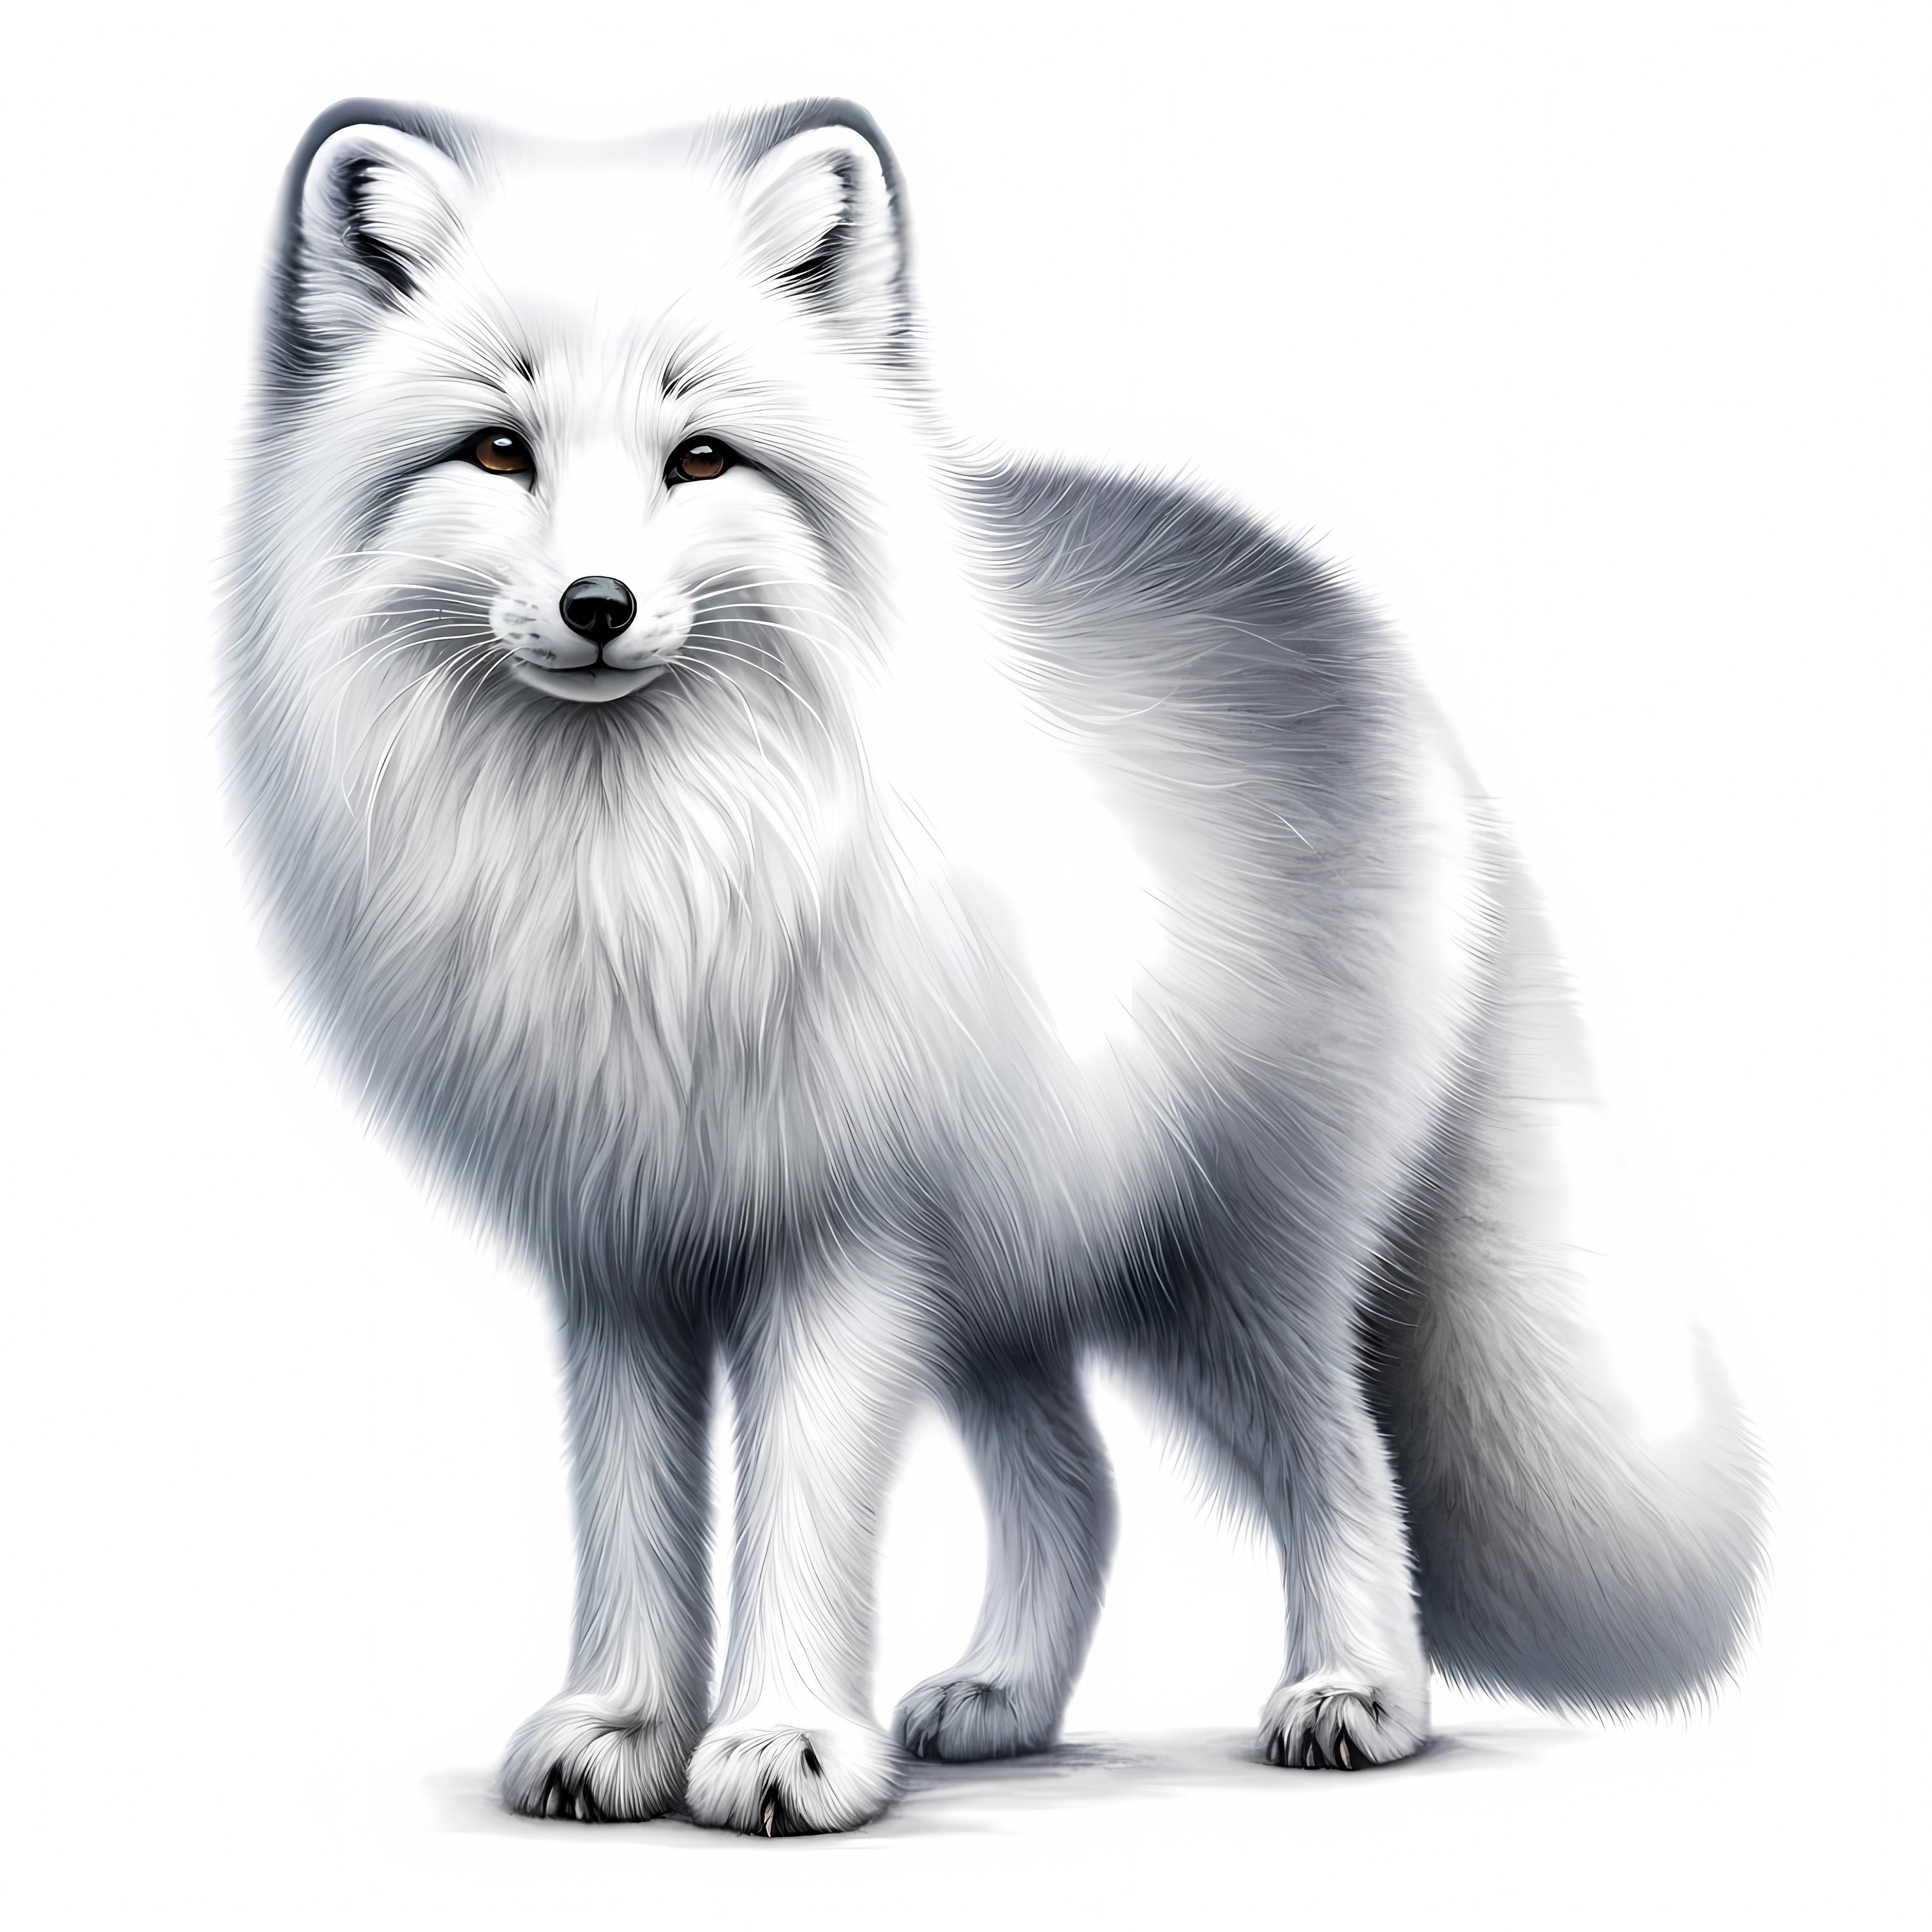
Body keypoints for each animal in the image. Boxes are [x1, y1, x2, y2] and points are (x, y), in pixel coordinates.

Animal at [224, 96, 1765, 1836]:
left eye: (702, 456)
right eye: (498, 449)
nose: (597, 605)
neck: (647, 868)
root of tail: (1347, 629)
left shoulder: (839, 1232)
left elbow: (800, 1500)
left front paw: (782, 1742)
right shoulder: (620, 1243)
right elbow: (628, 1503)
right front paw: (622, 1725)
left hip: (1224, 1265)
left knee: (1344, 1454)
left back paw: (1356, 1695)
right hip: (1007, 1286)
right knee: (1079, 1485)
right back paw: (1007, 1700)